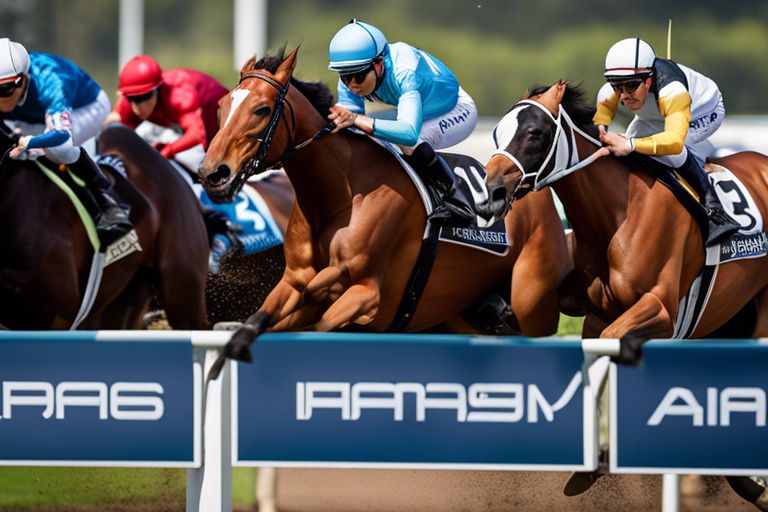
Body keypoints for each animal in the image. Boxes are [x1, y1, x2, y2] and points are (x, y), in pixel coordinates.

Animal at [197, 47, 572, 365]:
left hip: (533, 303)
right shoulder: (292, 280)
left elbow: (320, 313)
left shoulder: (366, 295)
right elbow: (272, 313)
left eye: (261, 109)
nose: (212, 172)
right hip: (456, 316)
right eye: (221, 108)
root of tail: (531, 191)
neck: (341, 189)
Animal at [482, 80, 768, 356]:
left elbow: (610, 340)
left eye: (535, 133)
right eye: (497, 133)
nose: (492, 191)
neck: (618, 216)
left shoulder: (661, 309)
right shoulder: (595, 313)